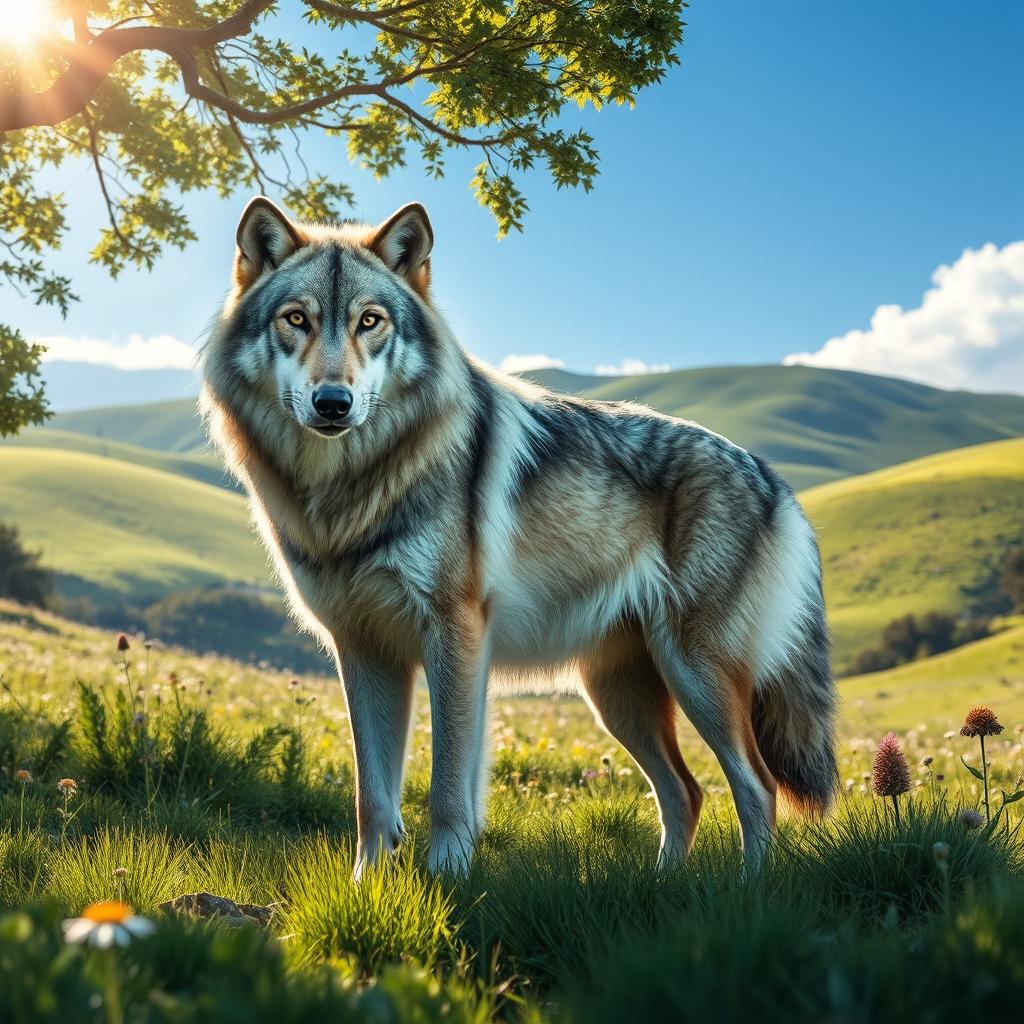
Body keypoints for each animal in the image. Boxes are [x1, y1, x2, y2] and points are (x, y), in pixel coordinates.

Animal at [200, 196, 838, 876]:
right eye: (297, 319)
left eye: (369, 321)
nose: (332, 402)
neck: (348, 488)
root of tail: (772, 477)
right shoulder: (364, 649)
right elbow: (372, 797)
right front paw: (368, 882)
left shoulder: (455, 631)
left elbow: (447, 784)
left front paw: (447, 878)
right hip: (617, 698)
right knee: (686, 792)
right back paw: (665, 884)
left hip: (696, 676)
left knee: (756, 786)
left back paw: (748, 891)